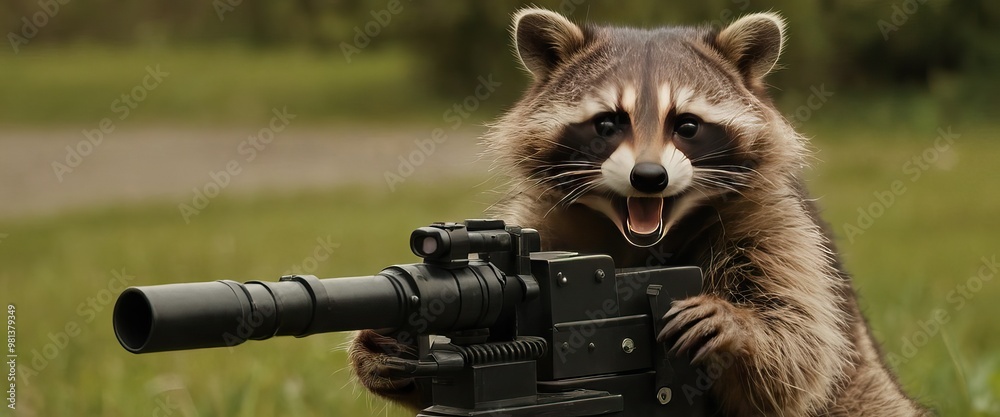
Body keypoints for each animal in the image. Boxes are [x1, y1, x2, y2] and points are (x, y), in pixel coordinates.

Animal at [350, 8, 931, 416]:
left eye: (687, 125)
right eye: (608, 123)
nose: (648, 177)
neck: (642, 245)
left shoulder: (778, 227)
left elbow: (800, 351)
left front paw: (742, 328)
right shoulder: (540, 219)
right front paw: (386, 349)